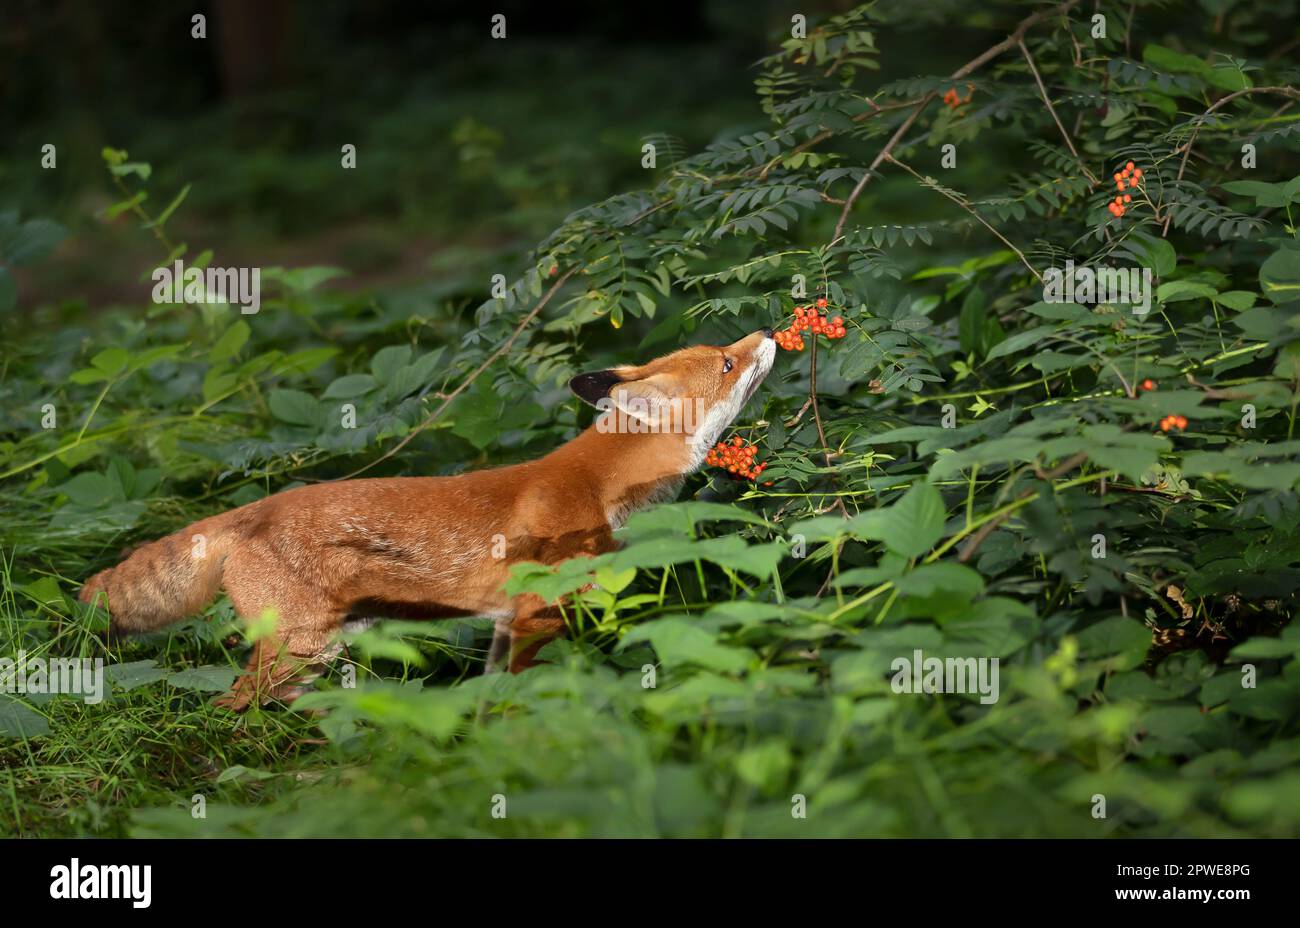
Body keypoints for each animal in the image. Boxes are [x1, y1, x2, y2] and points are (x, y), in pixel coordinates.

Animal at [79, 328, 776, 709]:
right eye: (726, 362)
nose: (769, 331)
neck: (599, 486)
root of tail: (258, 508)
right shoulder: (541, 613)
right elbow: (528, 689)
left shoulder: (507, 621)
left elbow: (493, 690)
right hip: (299, 650)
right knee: (234, 705)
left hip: (327, 649)